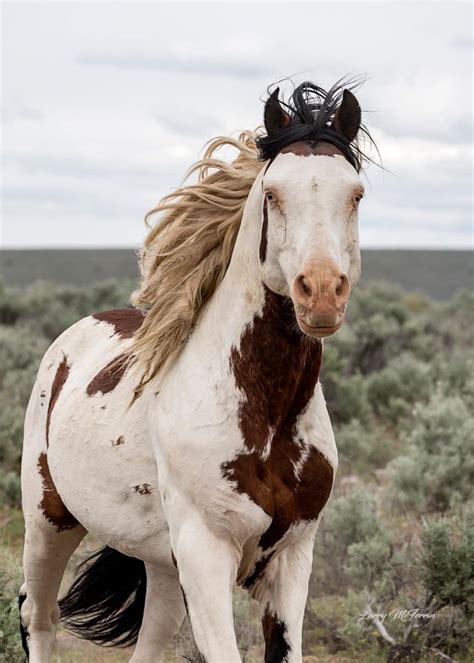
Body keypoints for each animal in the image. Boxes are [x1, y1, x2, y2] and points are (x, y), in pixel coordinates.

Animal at [20, 79, 373, 663]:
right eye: (272, 193)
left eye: (356, 193)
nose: (321, 293)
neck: (268, 415)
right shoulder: (207, 553)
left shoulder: (291, 559)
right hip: (48, 520)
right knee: (39, 619)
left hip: (163, 567)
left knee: (149, 639)